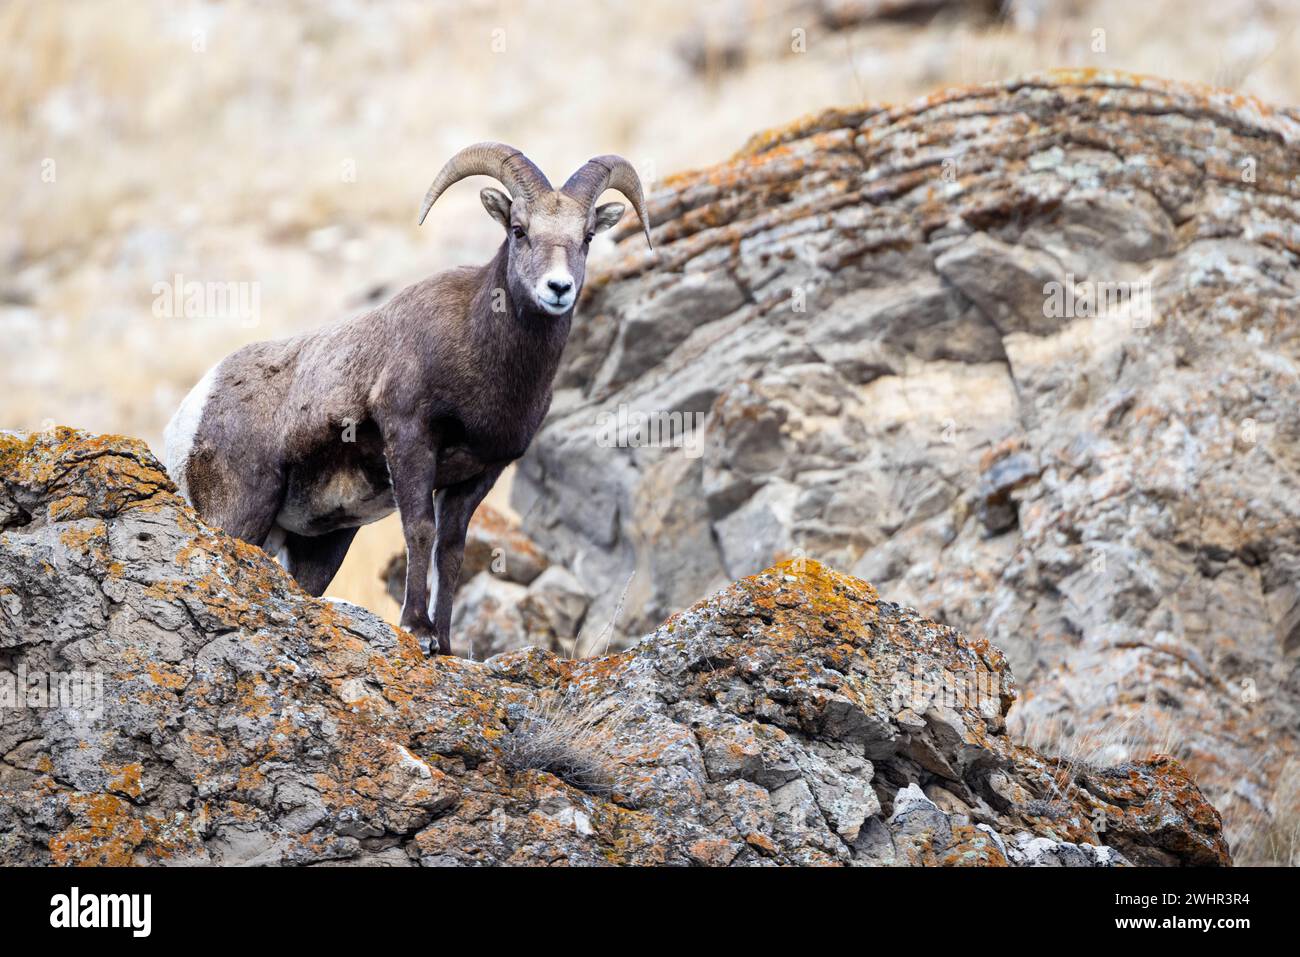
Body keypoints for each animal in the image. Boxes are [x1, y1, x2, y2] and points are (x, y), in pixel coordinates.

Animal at [163, 143, 652, 654]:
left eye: (588, 236)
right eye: (519, 230)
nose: (558, 289)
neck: (480, 354)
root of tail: (190, 414)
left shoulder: (478, 475)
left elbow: (450, 552)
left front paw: (446, 644)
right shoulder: (411, 441)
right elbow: (420, 530)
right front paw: (418, 630)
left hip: (320, 546)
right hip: (240, 513)